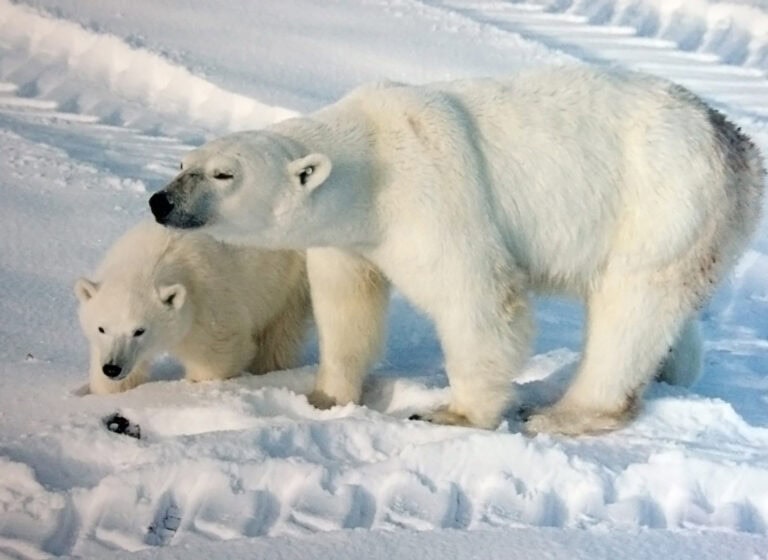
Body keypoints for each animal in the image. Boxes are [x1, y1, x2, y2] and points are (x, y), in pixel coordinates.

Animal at [75, 219, 311, 395]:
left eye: (139, 330)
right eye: (101, 328)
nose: (112, 368)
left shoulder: (209, 302)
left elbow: (216, 357)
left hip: (288, 281)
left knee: (279, 335)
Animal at [148, 65, 765, 435]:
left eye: (224, 174)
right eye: (183, 163)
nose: (160, 202)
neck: (371, 157)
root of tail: (738, 146)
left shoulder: (430, 196)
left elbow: (479, 299)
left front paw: (453, 413)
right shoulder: (349, 238)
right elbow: (347, 305)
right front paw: (323, 396)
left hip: (662, 203)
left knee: (629, 310)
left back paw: (564, 413)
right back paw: (673, 368)